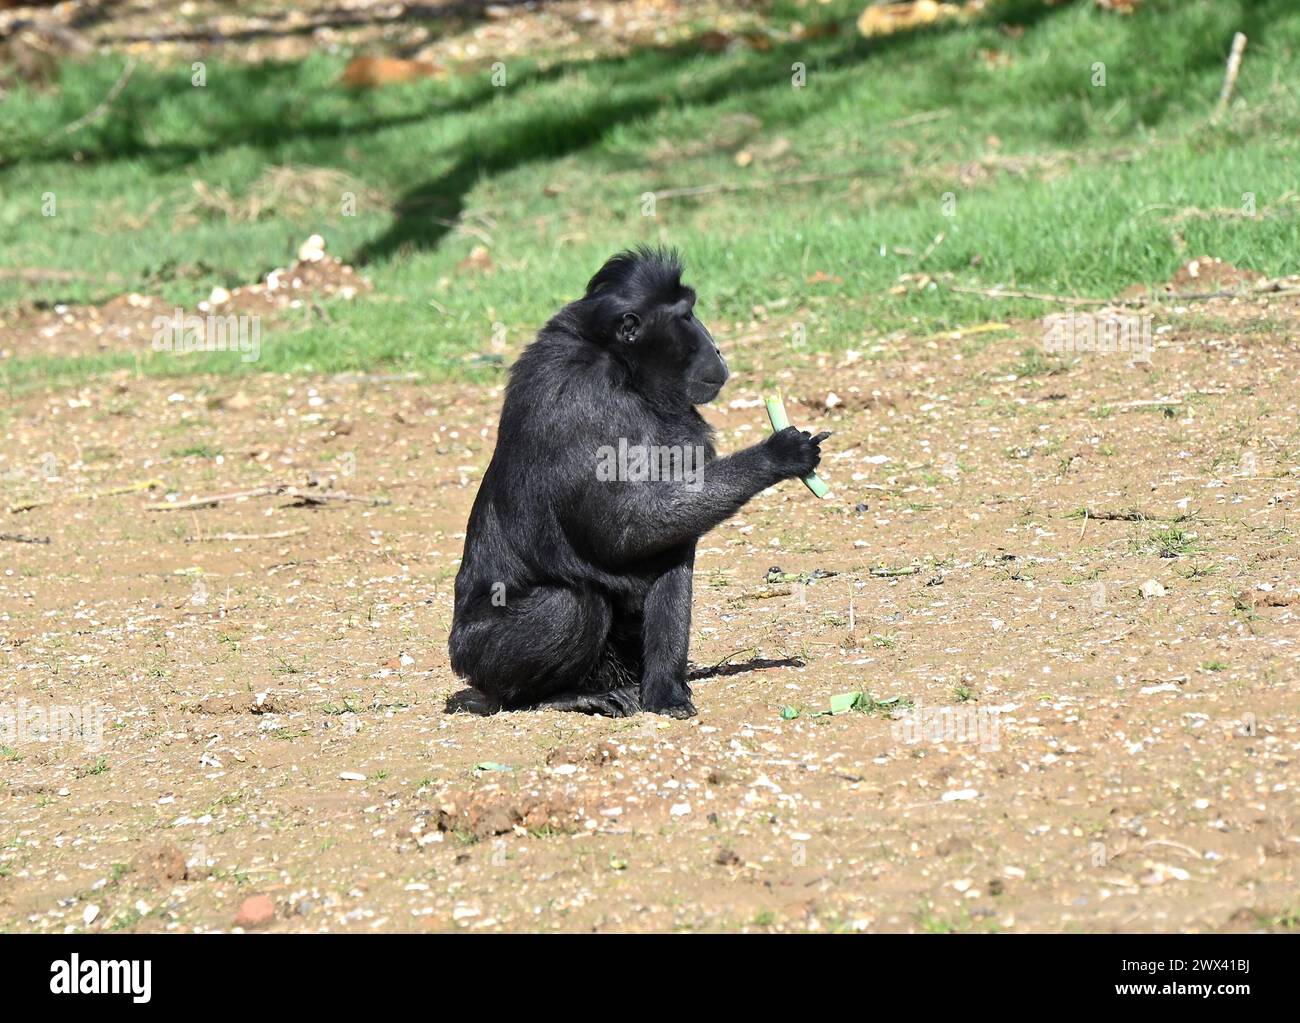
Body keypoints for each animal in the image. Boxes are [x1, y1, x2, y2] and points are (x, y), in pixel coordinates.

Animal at [448, 247, 828, 717]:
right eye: (686, 316)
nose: (718, 347)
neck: (621, 365)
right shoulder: (584, 398)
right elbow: (623, 530)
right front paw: (777, 456)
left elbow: (663, 541)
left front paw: (665, 691)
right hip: (478, 653)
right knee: (570, 604)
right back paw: (561, 696)